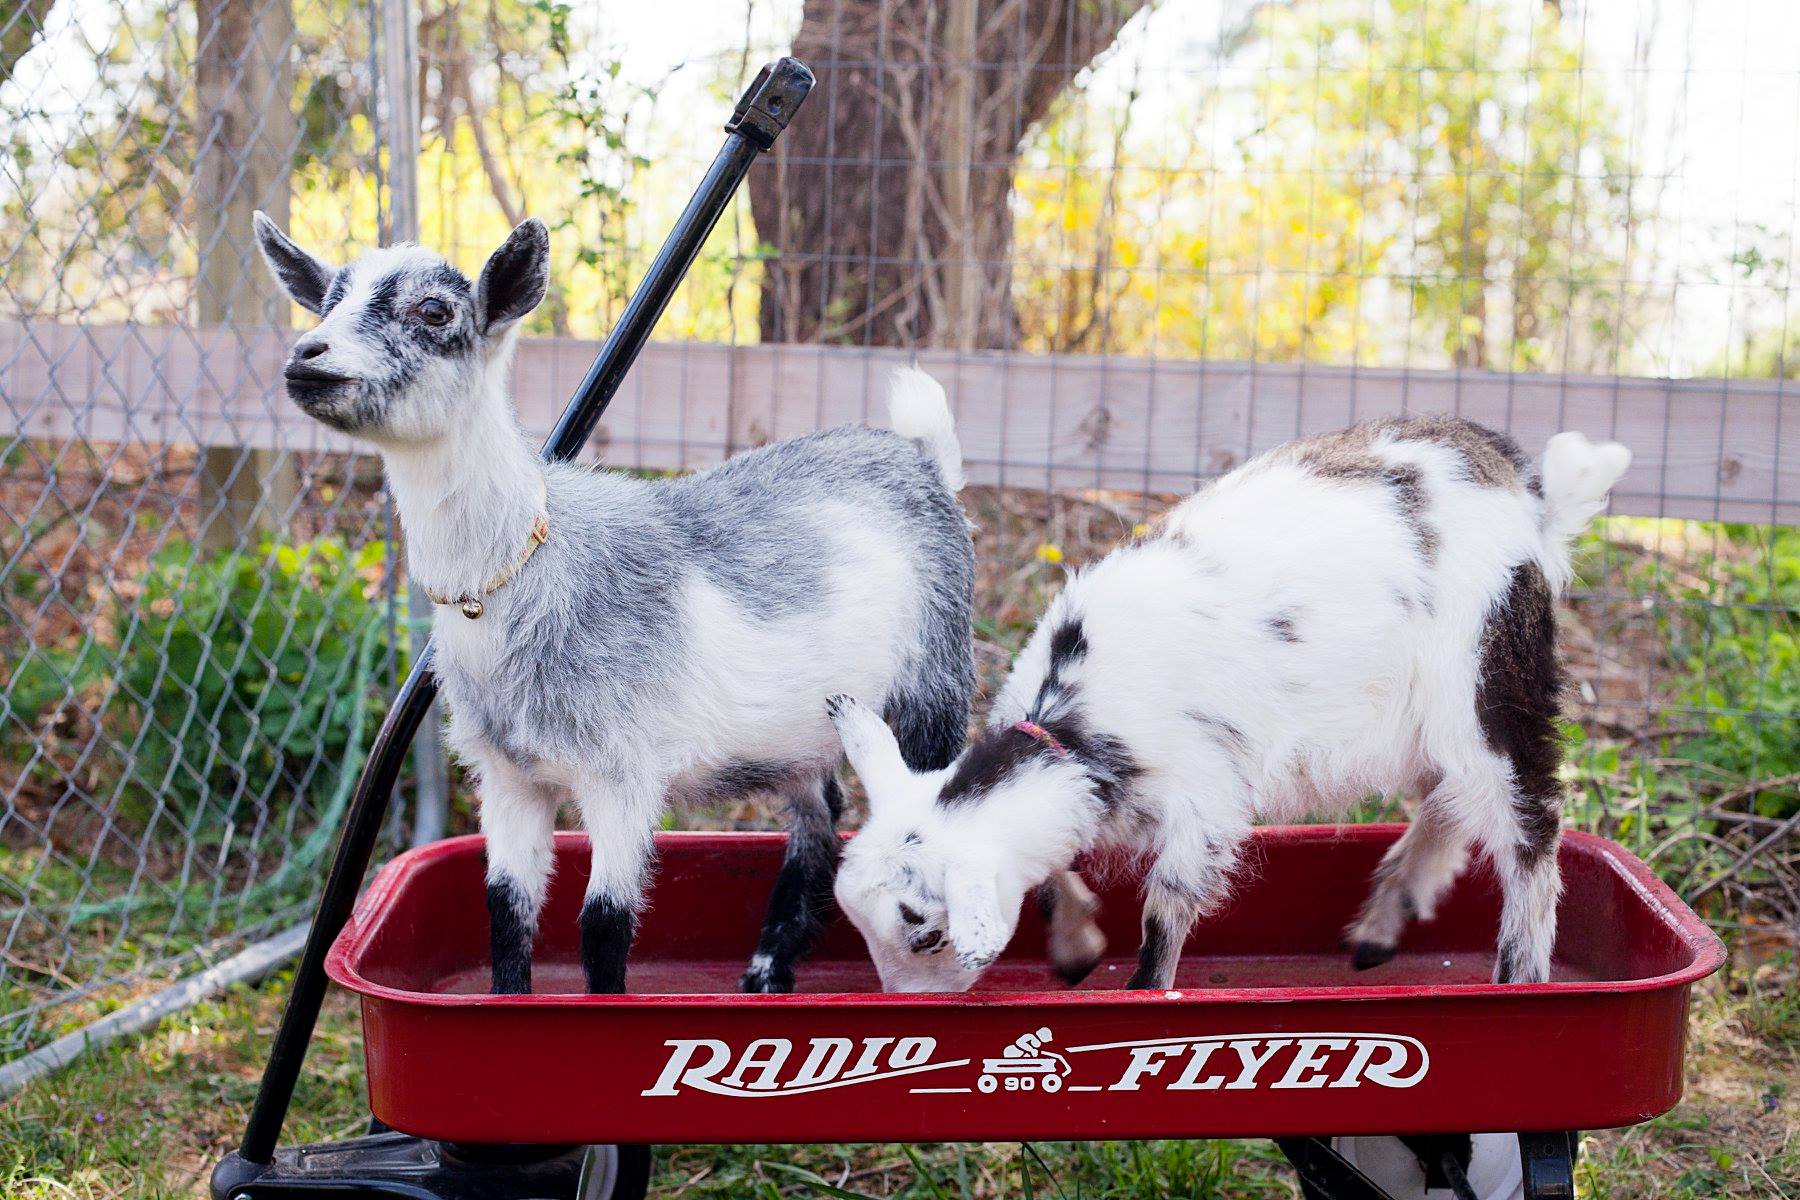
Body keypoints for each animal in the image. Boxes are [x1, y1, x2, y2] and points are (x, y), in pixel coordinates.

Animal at [254, 214, 977, 994]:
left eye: (434, 311)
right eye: (327, 302)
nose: (308, 357)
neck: (527, 575)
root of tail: (921, 458)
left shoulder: (623, 775)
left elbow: (604, 925)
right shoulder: (508, 778)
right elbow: (506, 909)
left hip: (934, 680)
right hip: (802, 732)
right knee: (822, 819)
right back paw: (766, 969)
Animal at [825, 416, 1631, 992]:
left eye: (925, 930)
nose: (903, 1002)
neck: (1075, 727)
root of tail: (1531, 499)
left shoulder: (1203, 800)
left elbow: (1165, 909)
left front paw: (1142, 990)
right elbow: (1054, 870)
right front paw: (1079, 946)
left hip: (1490, 680)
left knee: (1529, 827)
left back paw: (1519, 976)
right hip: (1430, 719)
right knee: (1449, 799)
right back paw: (1383, 921)